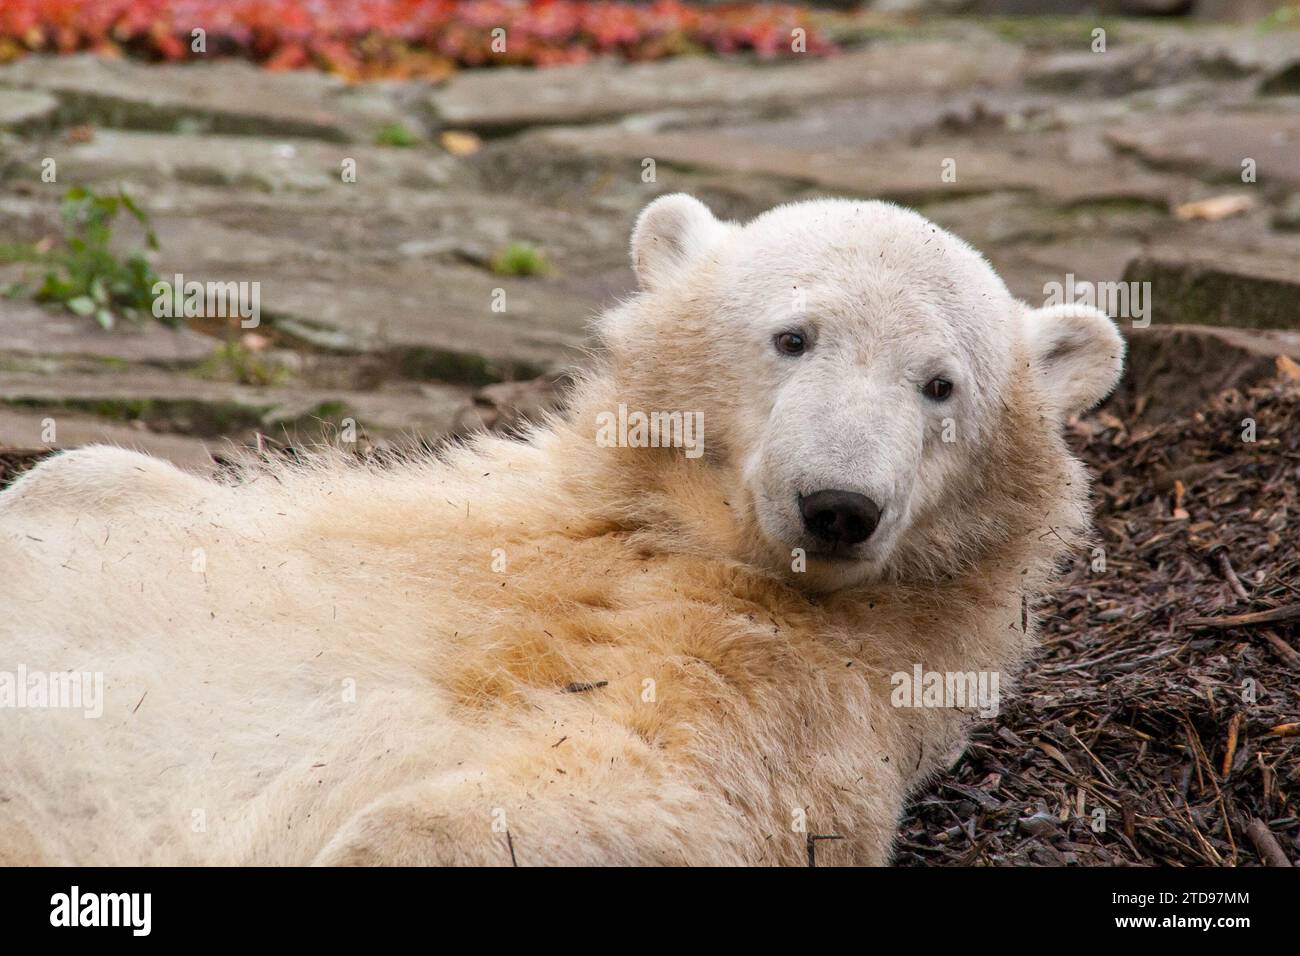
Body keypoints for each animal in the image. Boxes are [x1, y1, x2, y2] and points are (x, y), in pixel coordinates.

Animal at [0, 195, 1123, 866]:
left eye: (940, 384)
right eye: (793, 336)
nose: (838, 505)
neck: (677, 534)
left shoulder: (800, 691)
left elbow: (620, 802)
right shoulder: (459, 509)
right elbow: (88, 481)